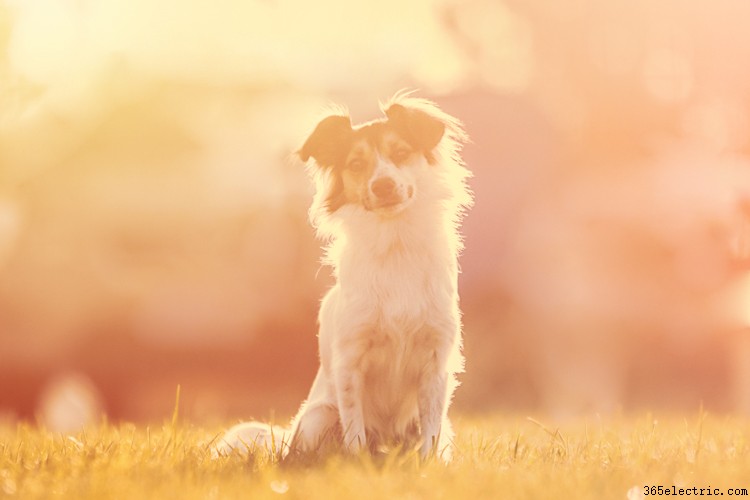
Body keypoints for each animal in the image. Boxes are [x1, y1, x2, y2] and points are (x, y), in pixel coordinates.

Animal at [217, 93, 472, 460]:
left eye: (400, 154)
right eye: (356, 165)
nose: (382, 185)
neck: (395, 244)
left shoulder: (436, 361)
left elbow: (431, 430)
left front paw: (428, 464)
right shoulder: (351, 361)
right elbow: (355, 430)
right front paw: (357, 463)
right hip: (317, 418)